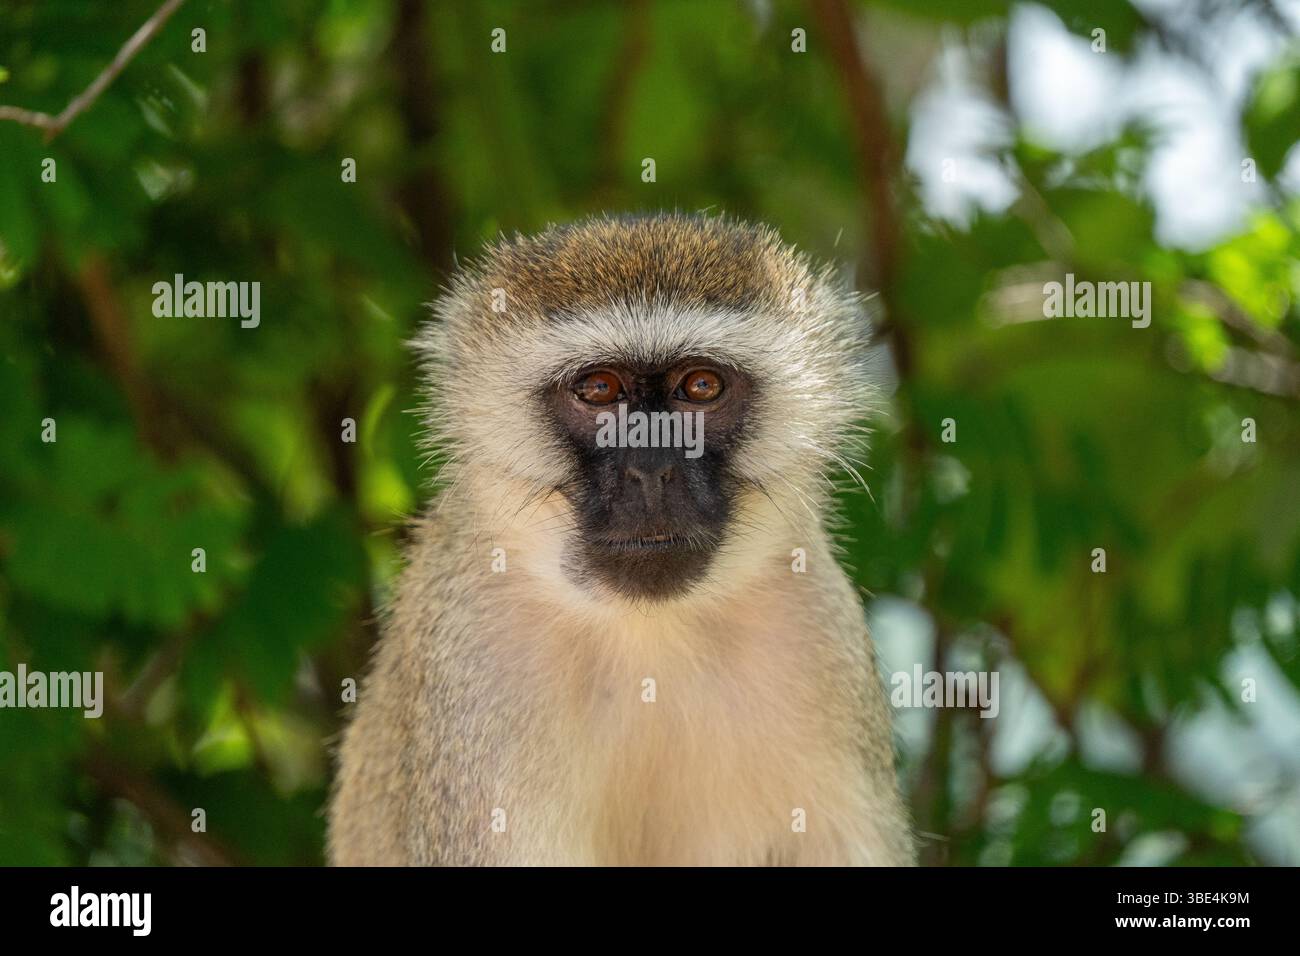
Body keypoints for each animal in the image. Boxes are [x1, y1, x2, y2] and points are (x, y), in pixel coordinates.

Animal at [328, 212, 916, 866]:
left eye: (701, 387)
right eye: (600, 390)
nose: (651, 471)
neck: (646, 635)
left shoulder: (816, 629)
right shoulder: (470, 654)